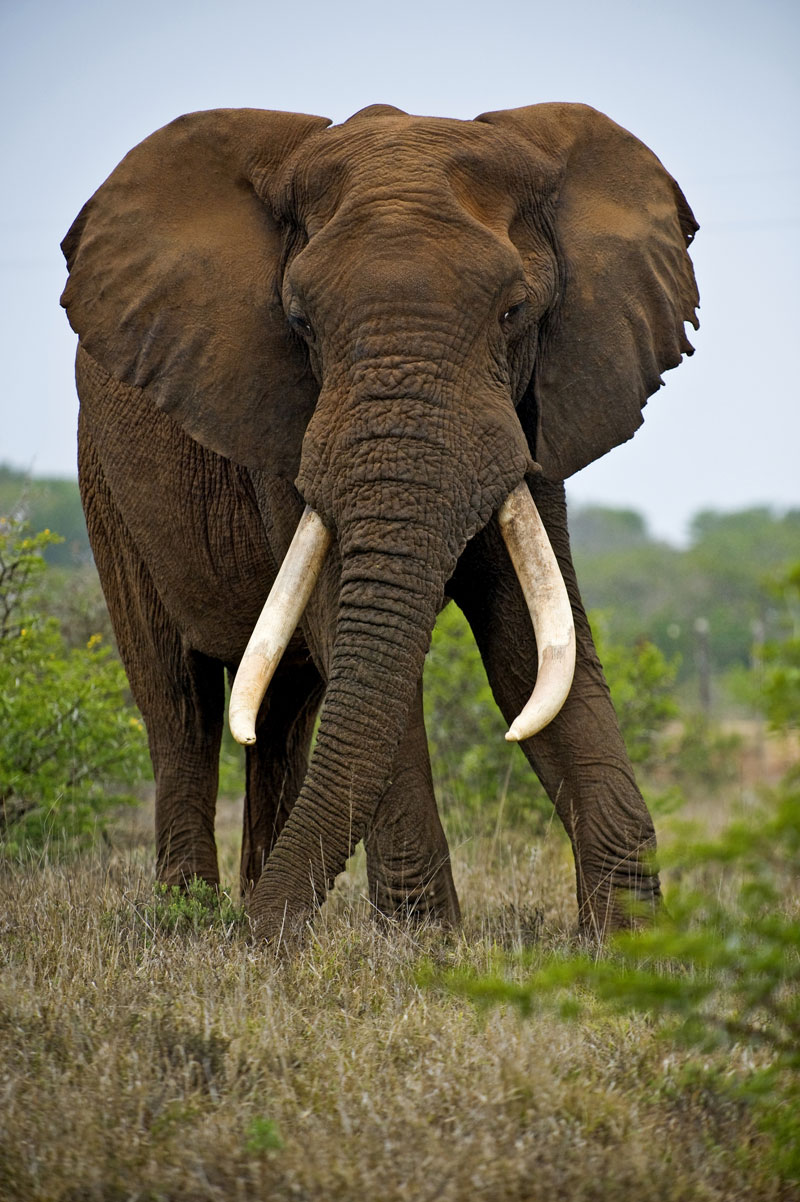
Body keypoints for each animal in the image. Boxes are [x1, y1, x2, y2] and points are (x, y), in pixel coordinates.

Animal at [60, 101, 698, 945]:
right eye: (299, 321)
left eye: (514, 313)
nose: (262, 936)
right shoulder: (279, 421)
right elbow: (347, 623)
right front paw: (422, 948)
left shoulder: (536, 412)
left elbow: (528, 645)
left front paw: (630, 947)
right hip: (103, 479)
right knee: (181, 704)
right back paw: (194, 923)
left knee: (282, 717)